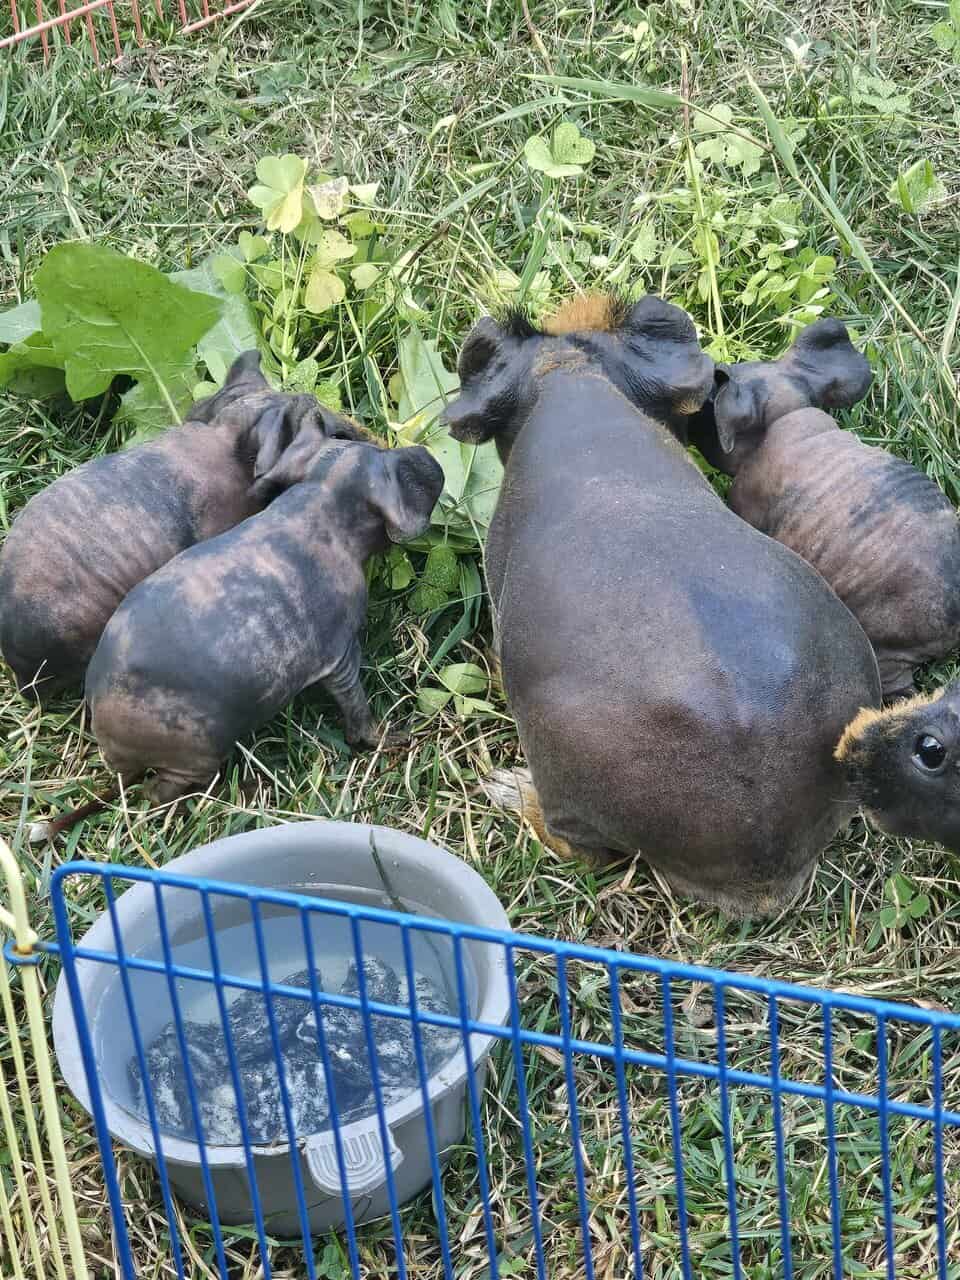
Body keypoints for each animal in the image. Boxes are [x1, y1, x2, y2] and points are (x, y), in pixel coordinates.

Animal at [83, 439, 444, 804]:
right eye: (383, 457)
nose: (425, 452)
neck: (322, 495)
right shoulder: (339, 650)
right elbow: (354, 701)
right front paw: (387, 737)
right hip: (197, 747)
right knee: (160, 793)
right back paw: (247, 788)